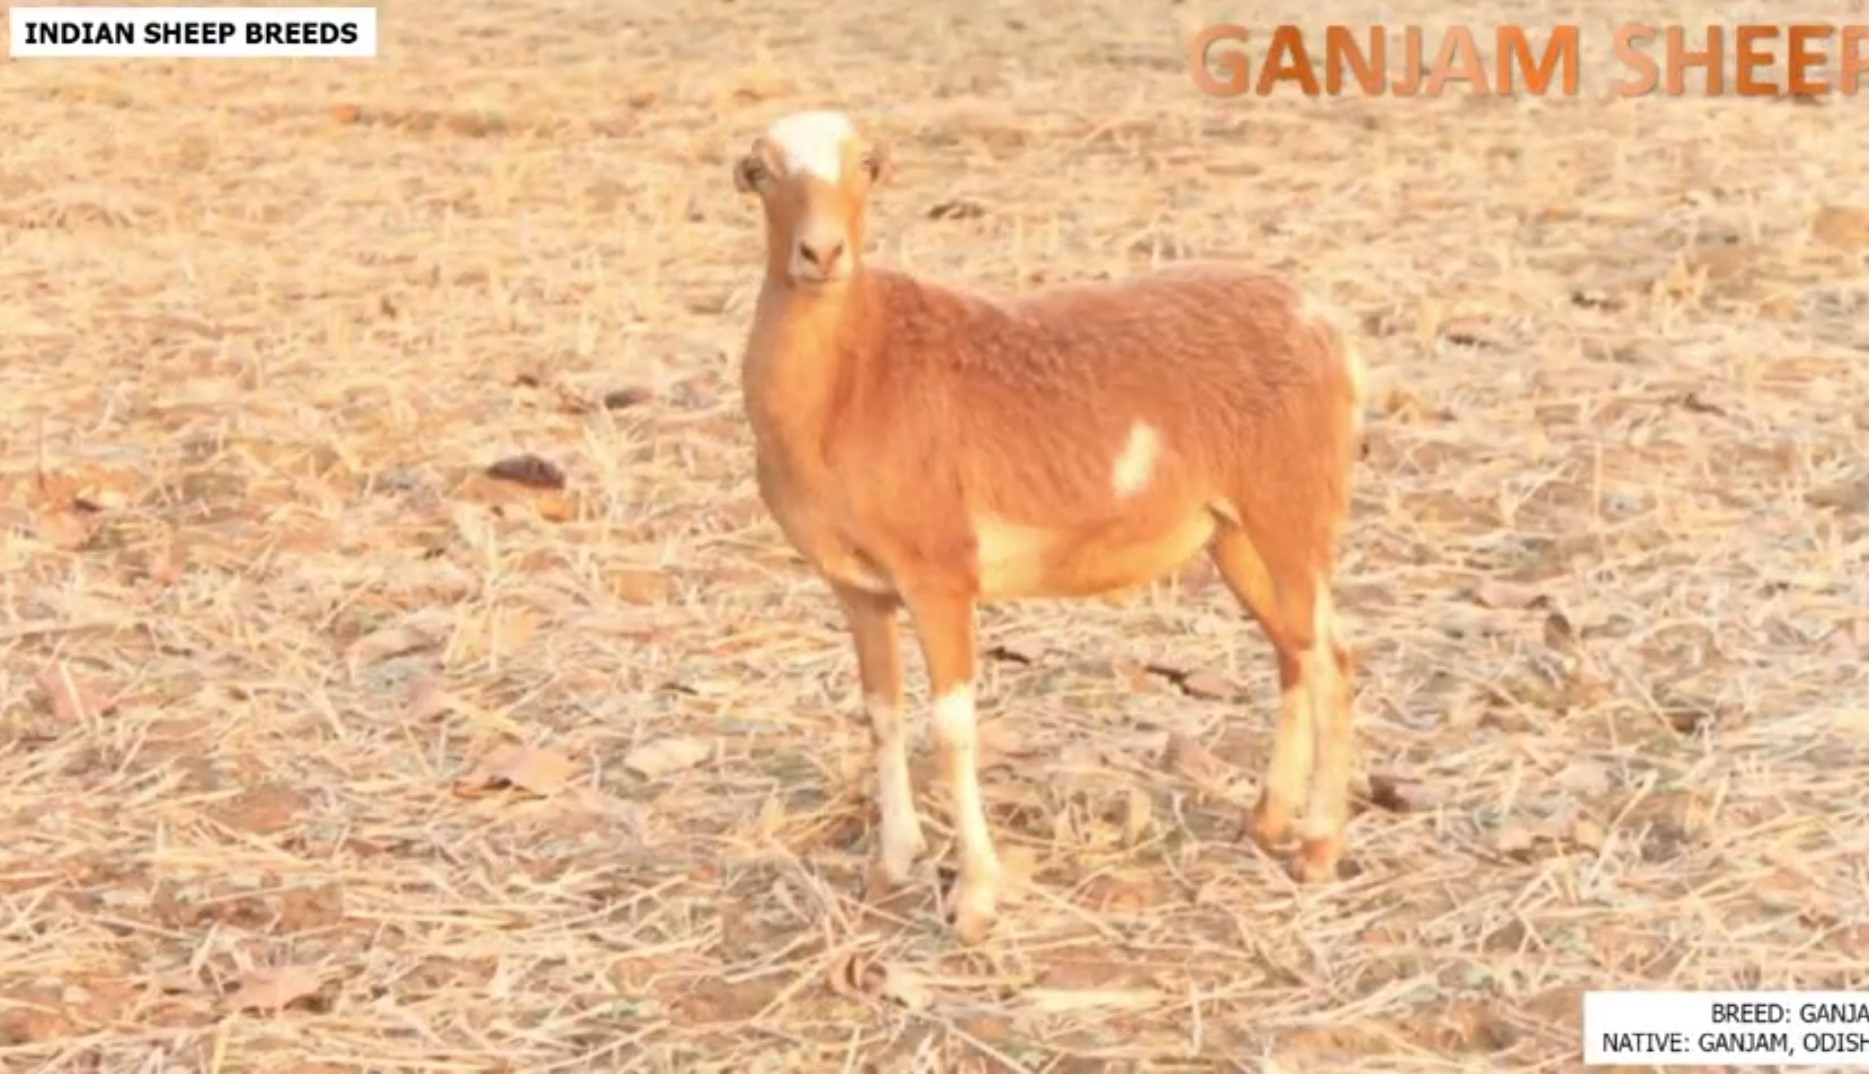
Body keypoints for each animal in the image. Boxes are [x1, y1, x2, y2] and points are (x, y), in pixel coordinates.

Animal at [730, 109, 1367, 945]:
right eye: (761, 173)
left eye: (866, 166)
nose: (821, 254)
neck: (854, 371)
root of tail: (1321, 321)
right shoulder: (857, 586)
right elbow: (881, 715)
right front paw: (891, 864)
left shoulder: (941, 574)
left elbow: (952, 729)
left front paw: (973, 899)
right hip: (1233, 531)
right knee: (1294, 648)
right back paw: (1266, 820)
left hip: (1293, 505)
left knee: (1329, 661)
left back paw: (1318, 848)